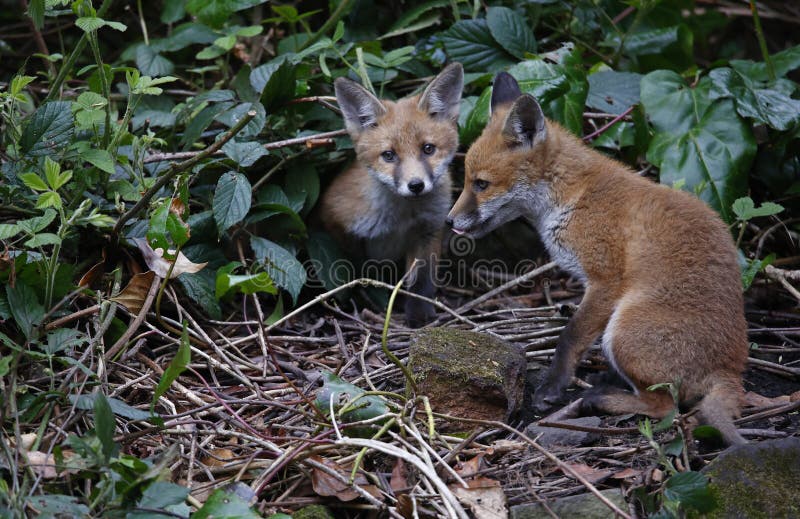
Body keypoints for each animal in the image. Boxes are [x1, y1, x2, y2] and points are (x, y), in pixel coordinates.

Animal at [318, 63, 464, 327]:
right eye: (389, 155)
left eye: (428, 149)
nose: (416, 185)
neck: (401, 219)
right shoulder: (338, 222)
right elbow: (361, 272)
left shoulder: (429, 230)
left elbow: (421, 281)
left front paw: (419, 315)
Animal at [446, 72, 749, 445]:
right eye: (467, 181)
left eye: (481, 184)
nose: (448, 221)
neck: (572, 196)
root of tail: (730, 367)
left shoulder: (604, 279)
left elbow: (570, 337)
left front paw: (551, 388)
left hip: (622, 332)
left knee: (666, 407)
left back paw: (602, 399)